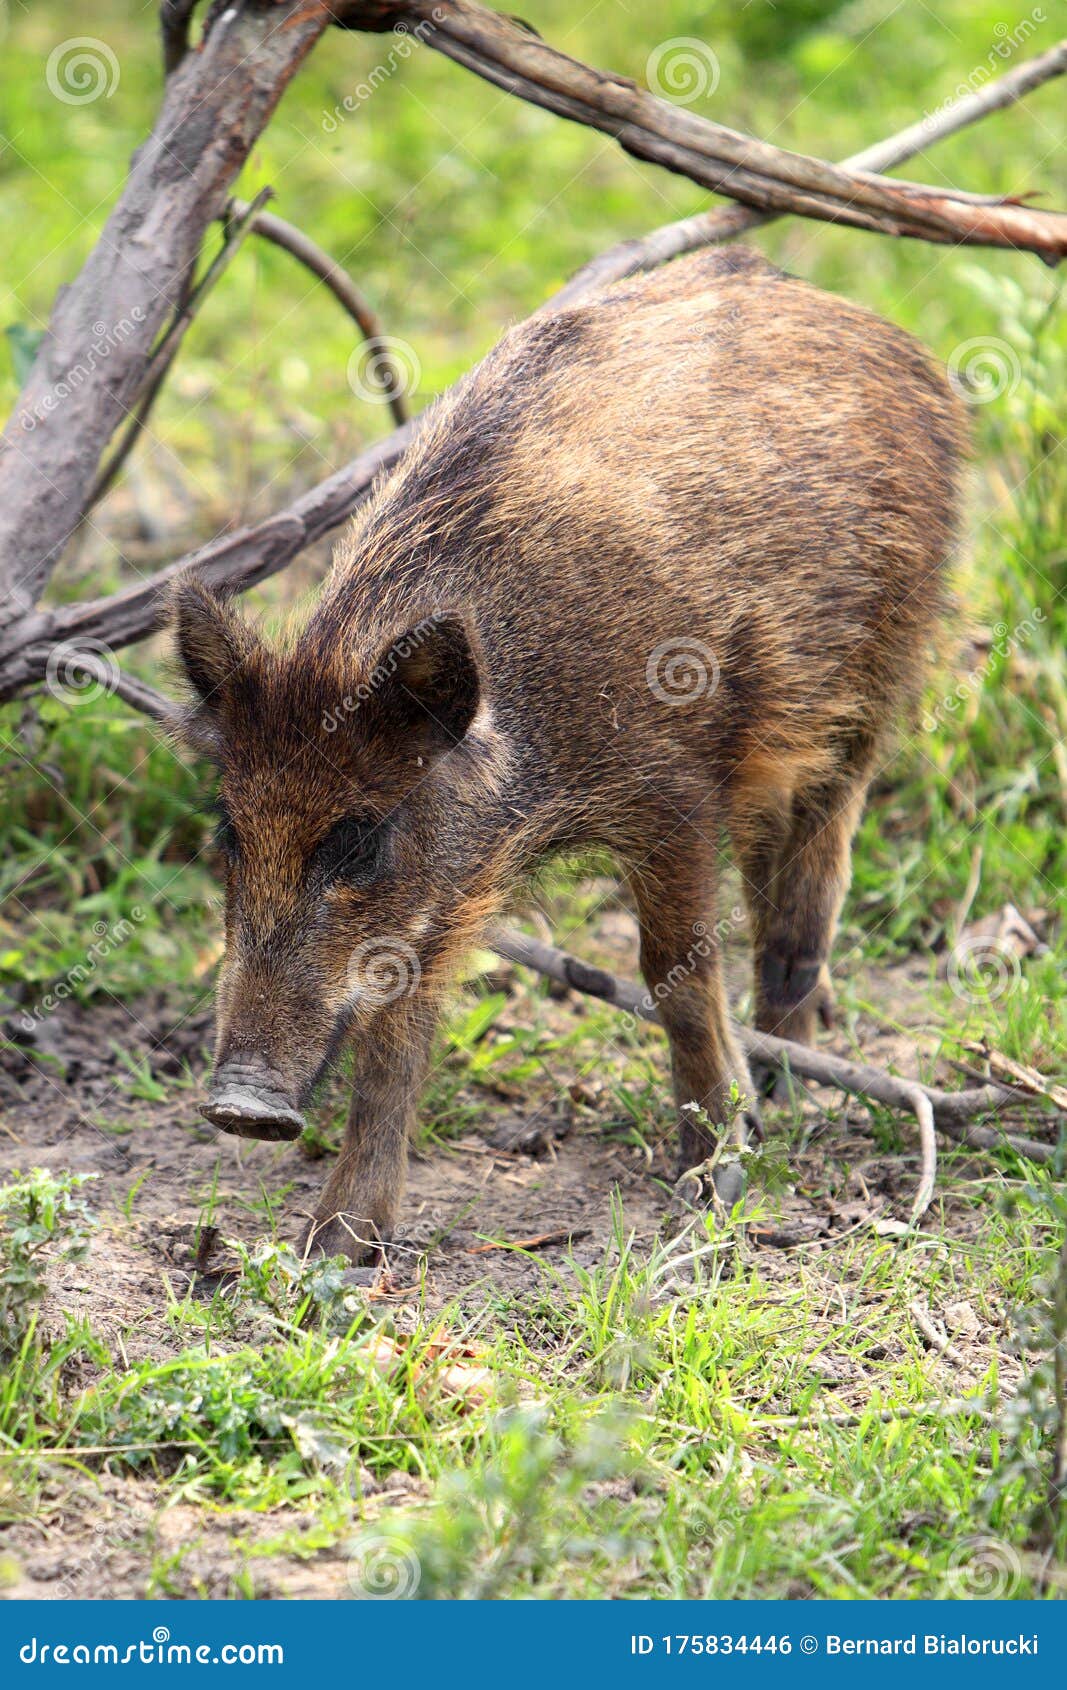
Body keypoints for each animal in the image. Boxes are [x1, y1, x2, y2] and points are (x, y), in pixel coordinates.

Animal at [172, 247, 967, 1262]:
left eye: (358, 837)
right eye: (229, 834)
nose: (238, 1107)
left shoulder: (671, 793)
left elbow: (673, 973)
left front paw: (713, 1182)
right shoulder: (444, 893)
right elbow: (395, 1042)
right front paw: (337, 1250)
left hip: (870, 683)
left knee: (809, 883)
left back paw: (785, 1091)